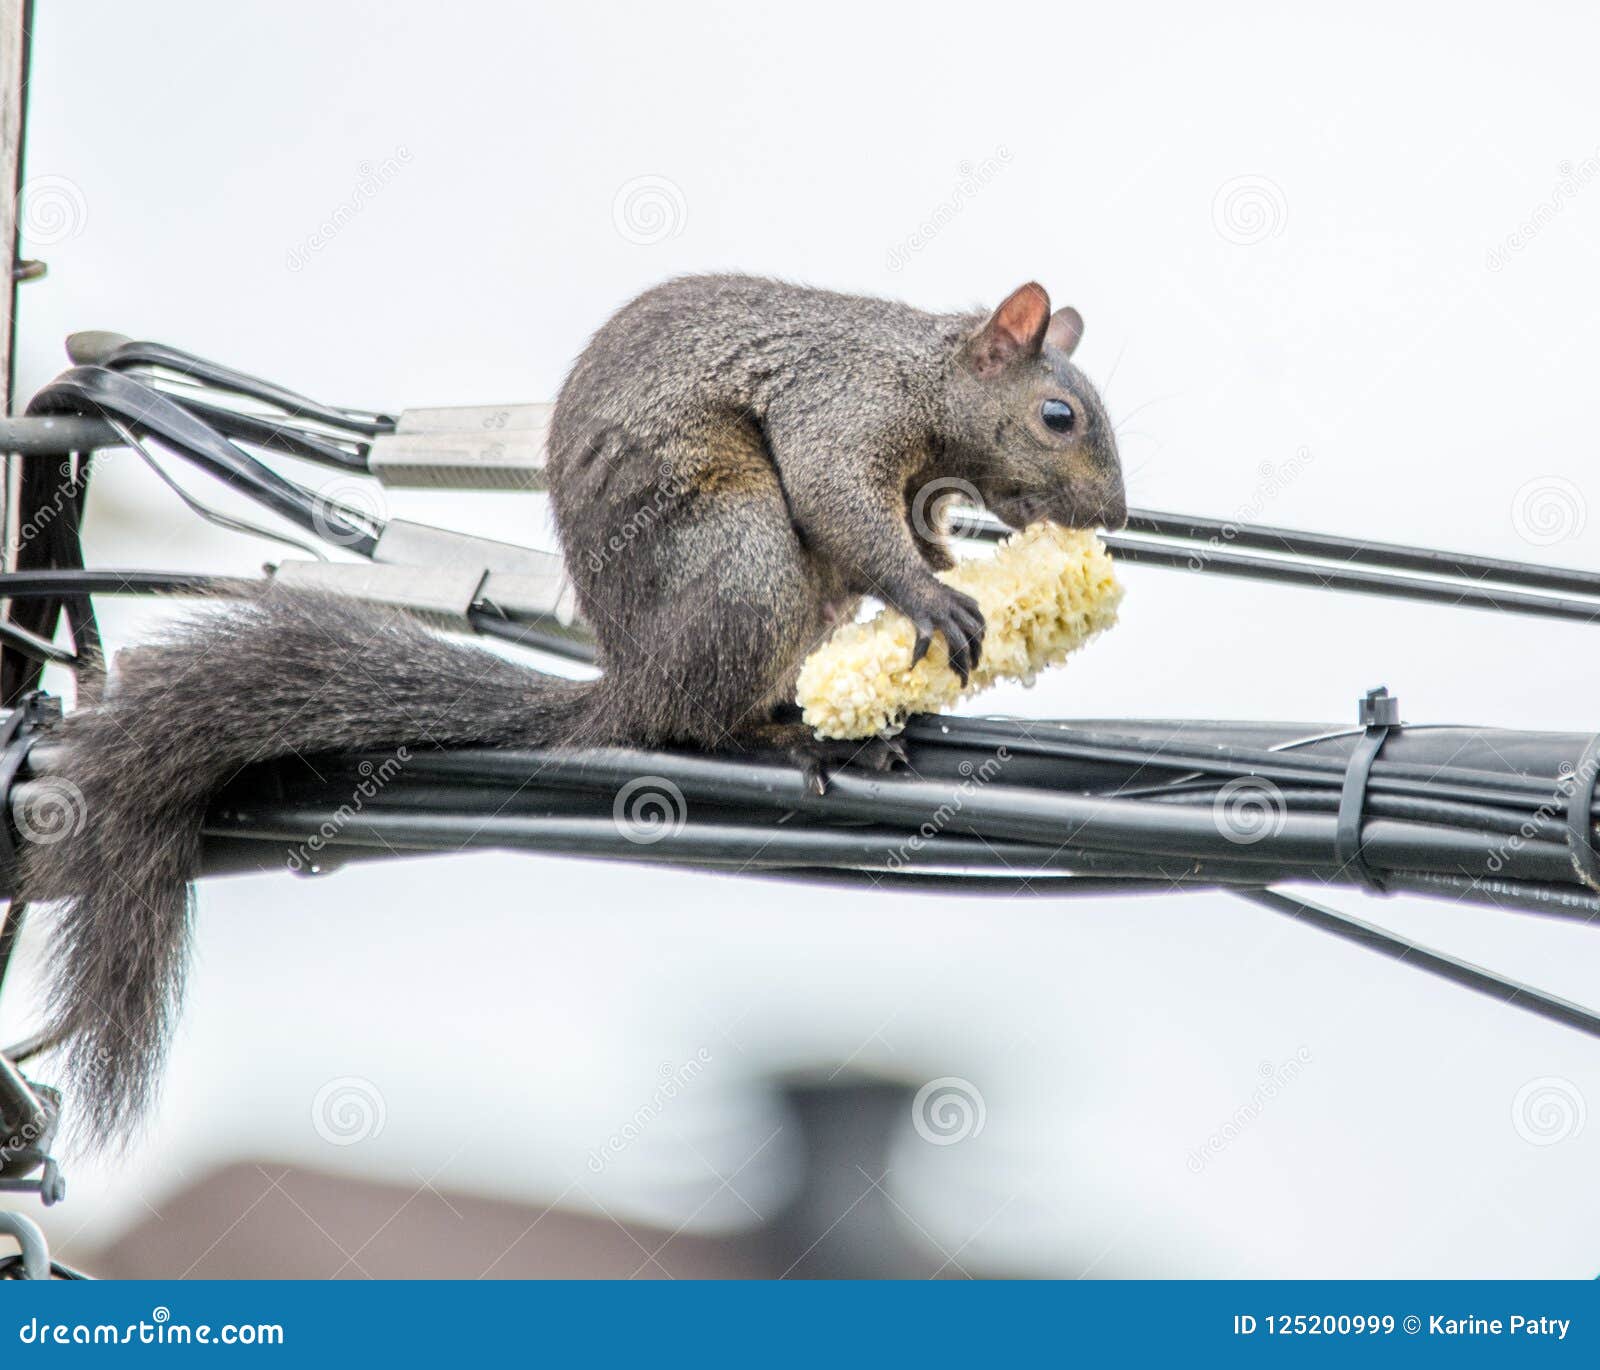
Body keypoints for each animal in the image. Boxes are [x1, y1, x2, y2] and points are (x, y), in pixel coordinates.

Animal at [17, 274, 1125, 1147]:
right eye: (1057, 416)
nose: (1111, 518)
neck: (921, 376)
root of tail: (633, 676)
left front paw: (942, 561)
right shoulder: (839, 404)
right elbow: (841, 500)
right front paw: (933, 595)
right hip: (746, 558)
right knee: (700, 715)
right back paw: (790, 738)